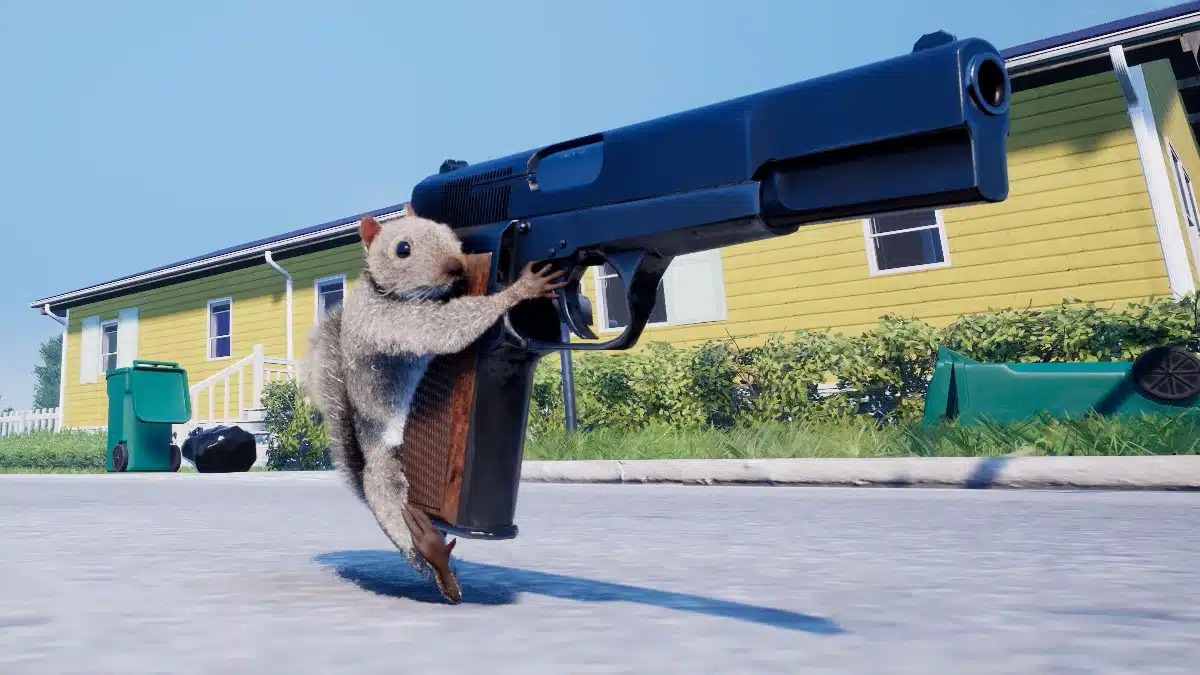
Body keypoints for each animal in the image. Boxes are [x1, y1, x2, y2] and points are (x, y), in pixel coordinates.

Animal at [301, 203, 566, 603]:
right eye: (403, 249)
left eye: (445, 229)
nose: (456, 266)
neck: (380, 288)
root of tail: (366, 459)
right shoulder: (392, 322)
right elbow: (442, 330)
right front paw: (521, 289)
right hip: (388, 479)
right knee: (397, 518)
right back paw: (432, 553)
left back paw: (447, 573)